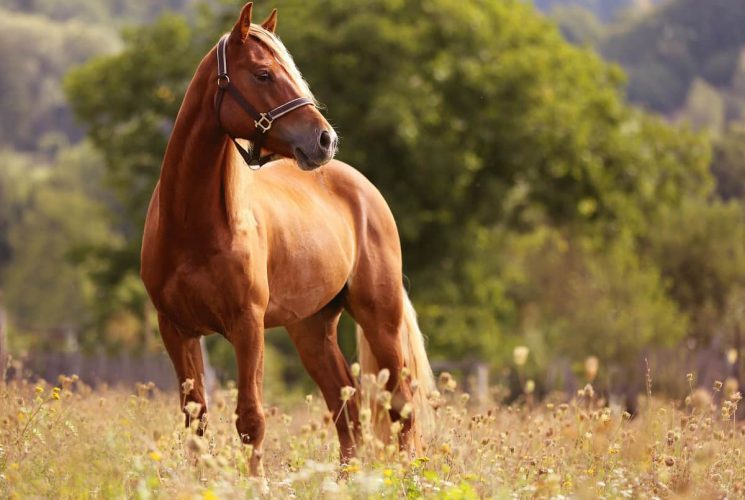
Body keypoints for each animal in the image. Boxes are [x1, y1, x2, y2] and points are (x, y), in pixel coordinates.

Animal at [140, 3, 435, 476]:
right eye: (263, 74)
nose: (325, 139)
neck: (193, 226)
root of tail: (363, 188)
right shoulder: (176, 329)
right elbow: (195, 421)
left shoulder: (247, 325)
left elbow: (250, 419)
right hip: (311, 328)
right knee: (346, 410)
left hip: (380, 318)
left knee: (400, 405)